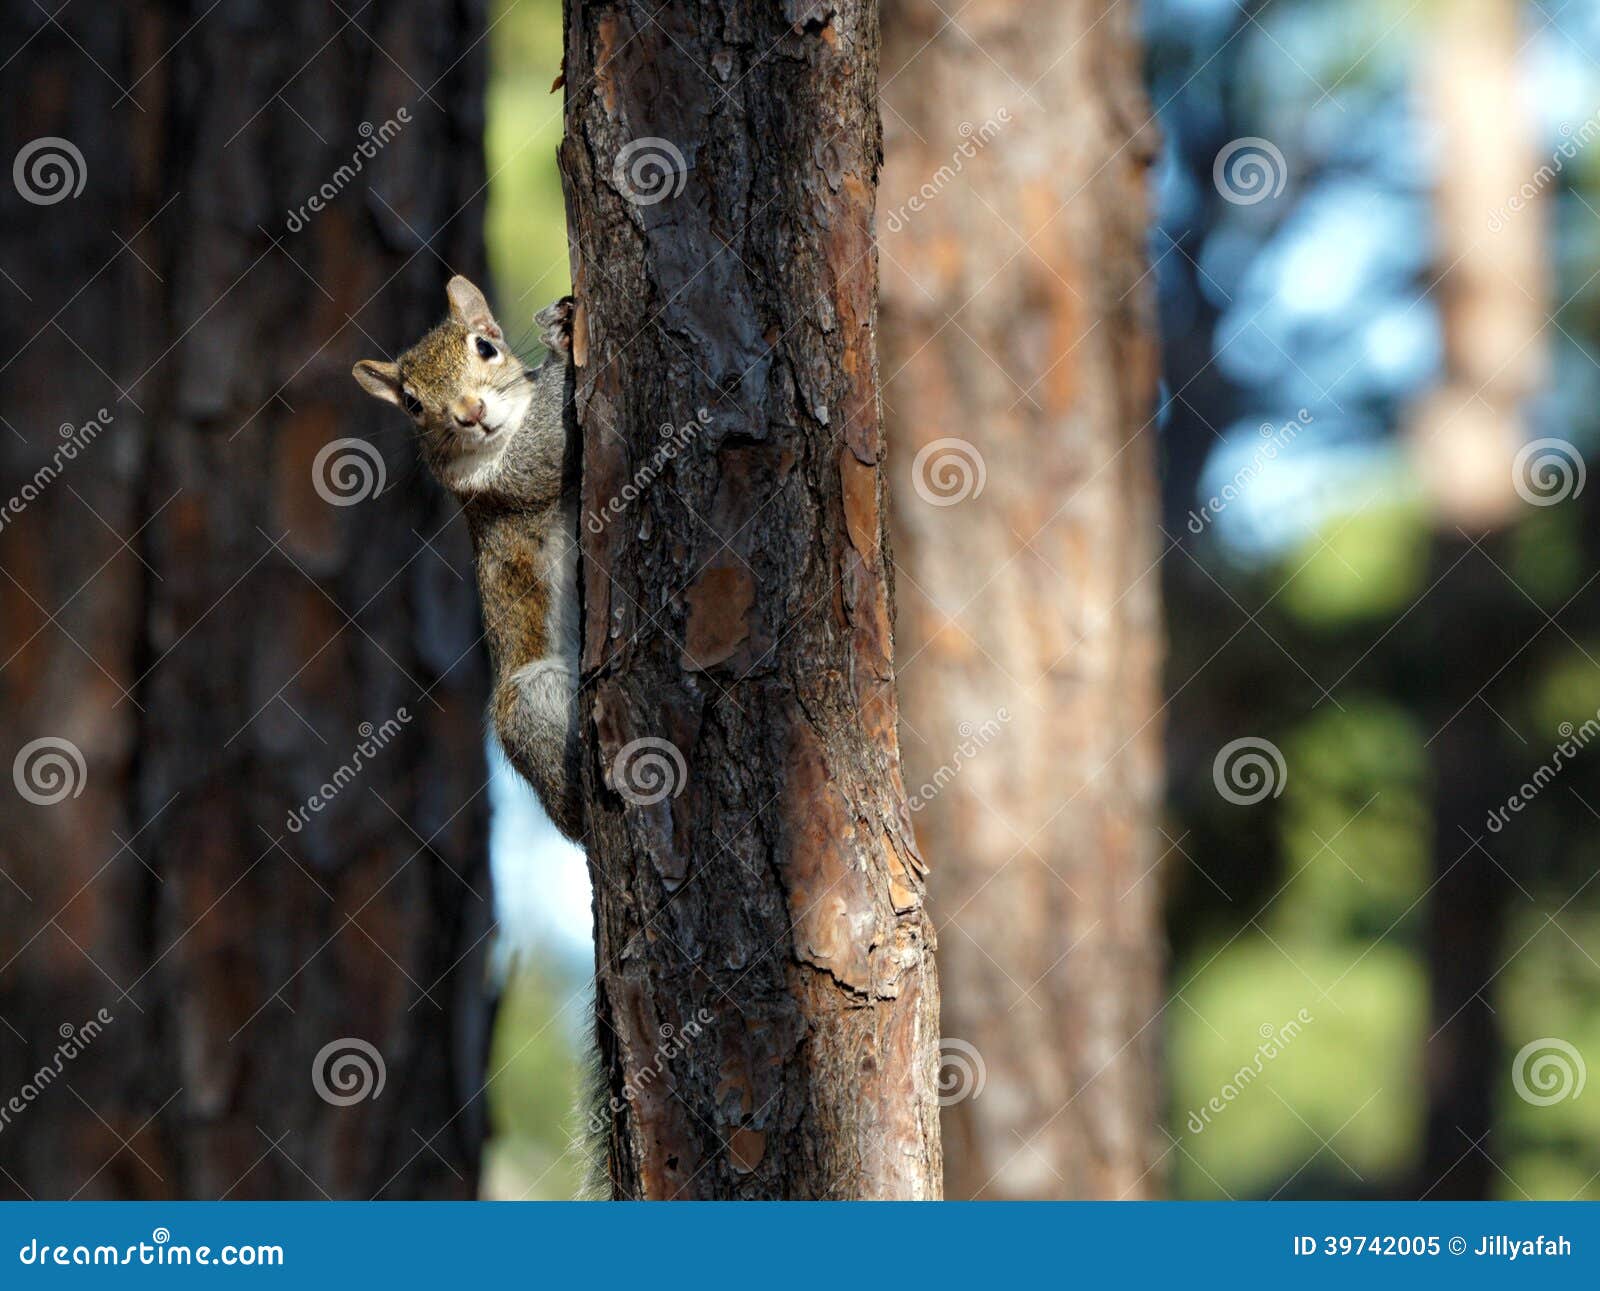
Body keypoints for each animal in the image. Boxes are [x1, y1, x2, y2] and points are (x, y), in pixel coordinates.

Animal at [353, 277, 584, 843]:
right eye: (412, 403)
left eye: (485, 347)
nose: (470, 412)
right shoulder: (503, 482)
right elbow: (549, 446)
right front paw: (558, 340)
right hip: (530, 699)